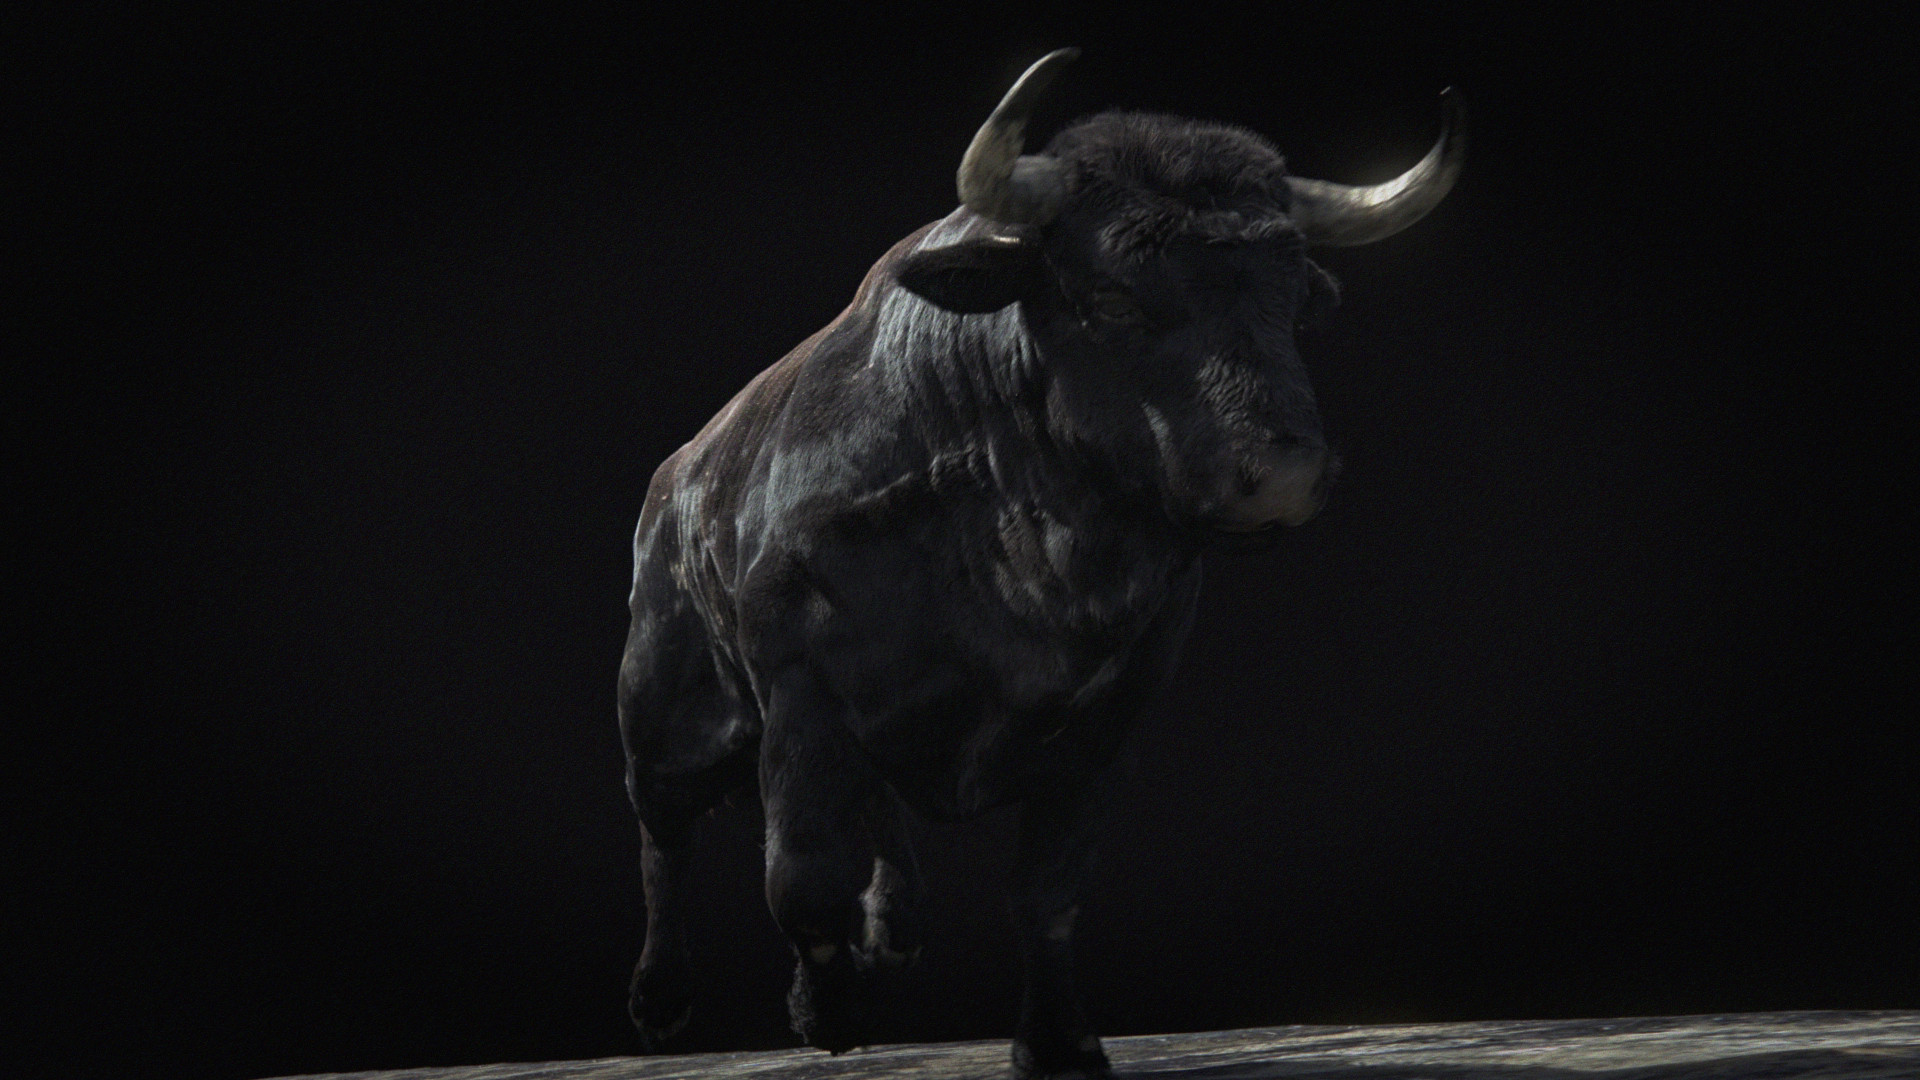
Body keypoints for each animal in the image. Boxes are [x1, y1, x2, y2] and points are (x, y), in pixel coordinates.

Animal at [618, 49, 1463, 1079]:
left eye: (1296, 300)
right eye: (1113, 298)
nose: (1285, 476)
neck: (1023, 547)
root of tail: (673, 481)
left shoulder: (1111, 721)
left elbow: (1047, 894)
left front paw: (1060, 1041)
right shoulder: (802, 699)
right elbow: (803, 884)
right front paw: (829, 1011)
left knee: (878, 816)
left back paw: (894, 929)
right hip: (660, 712)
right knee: (663, 834)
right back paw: (662, 1002)